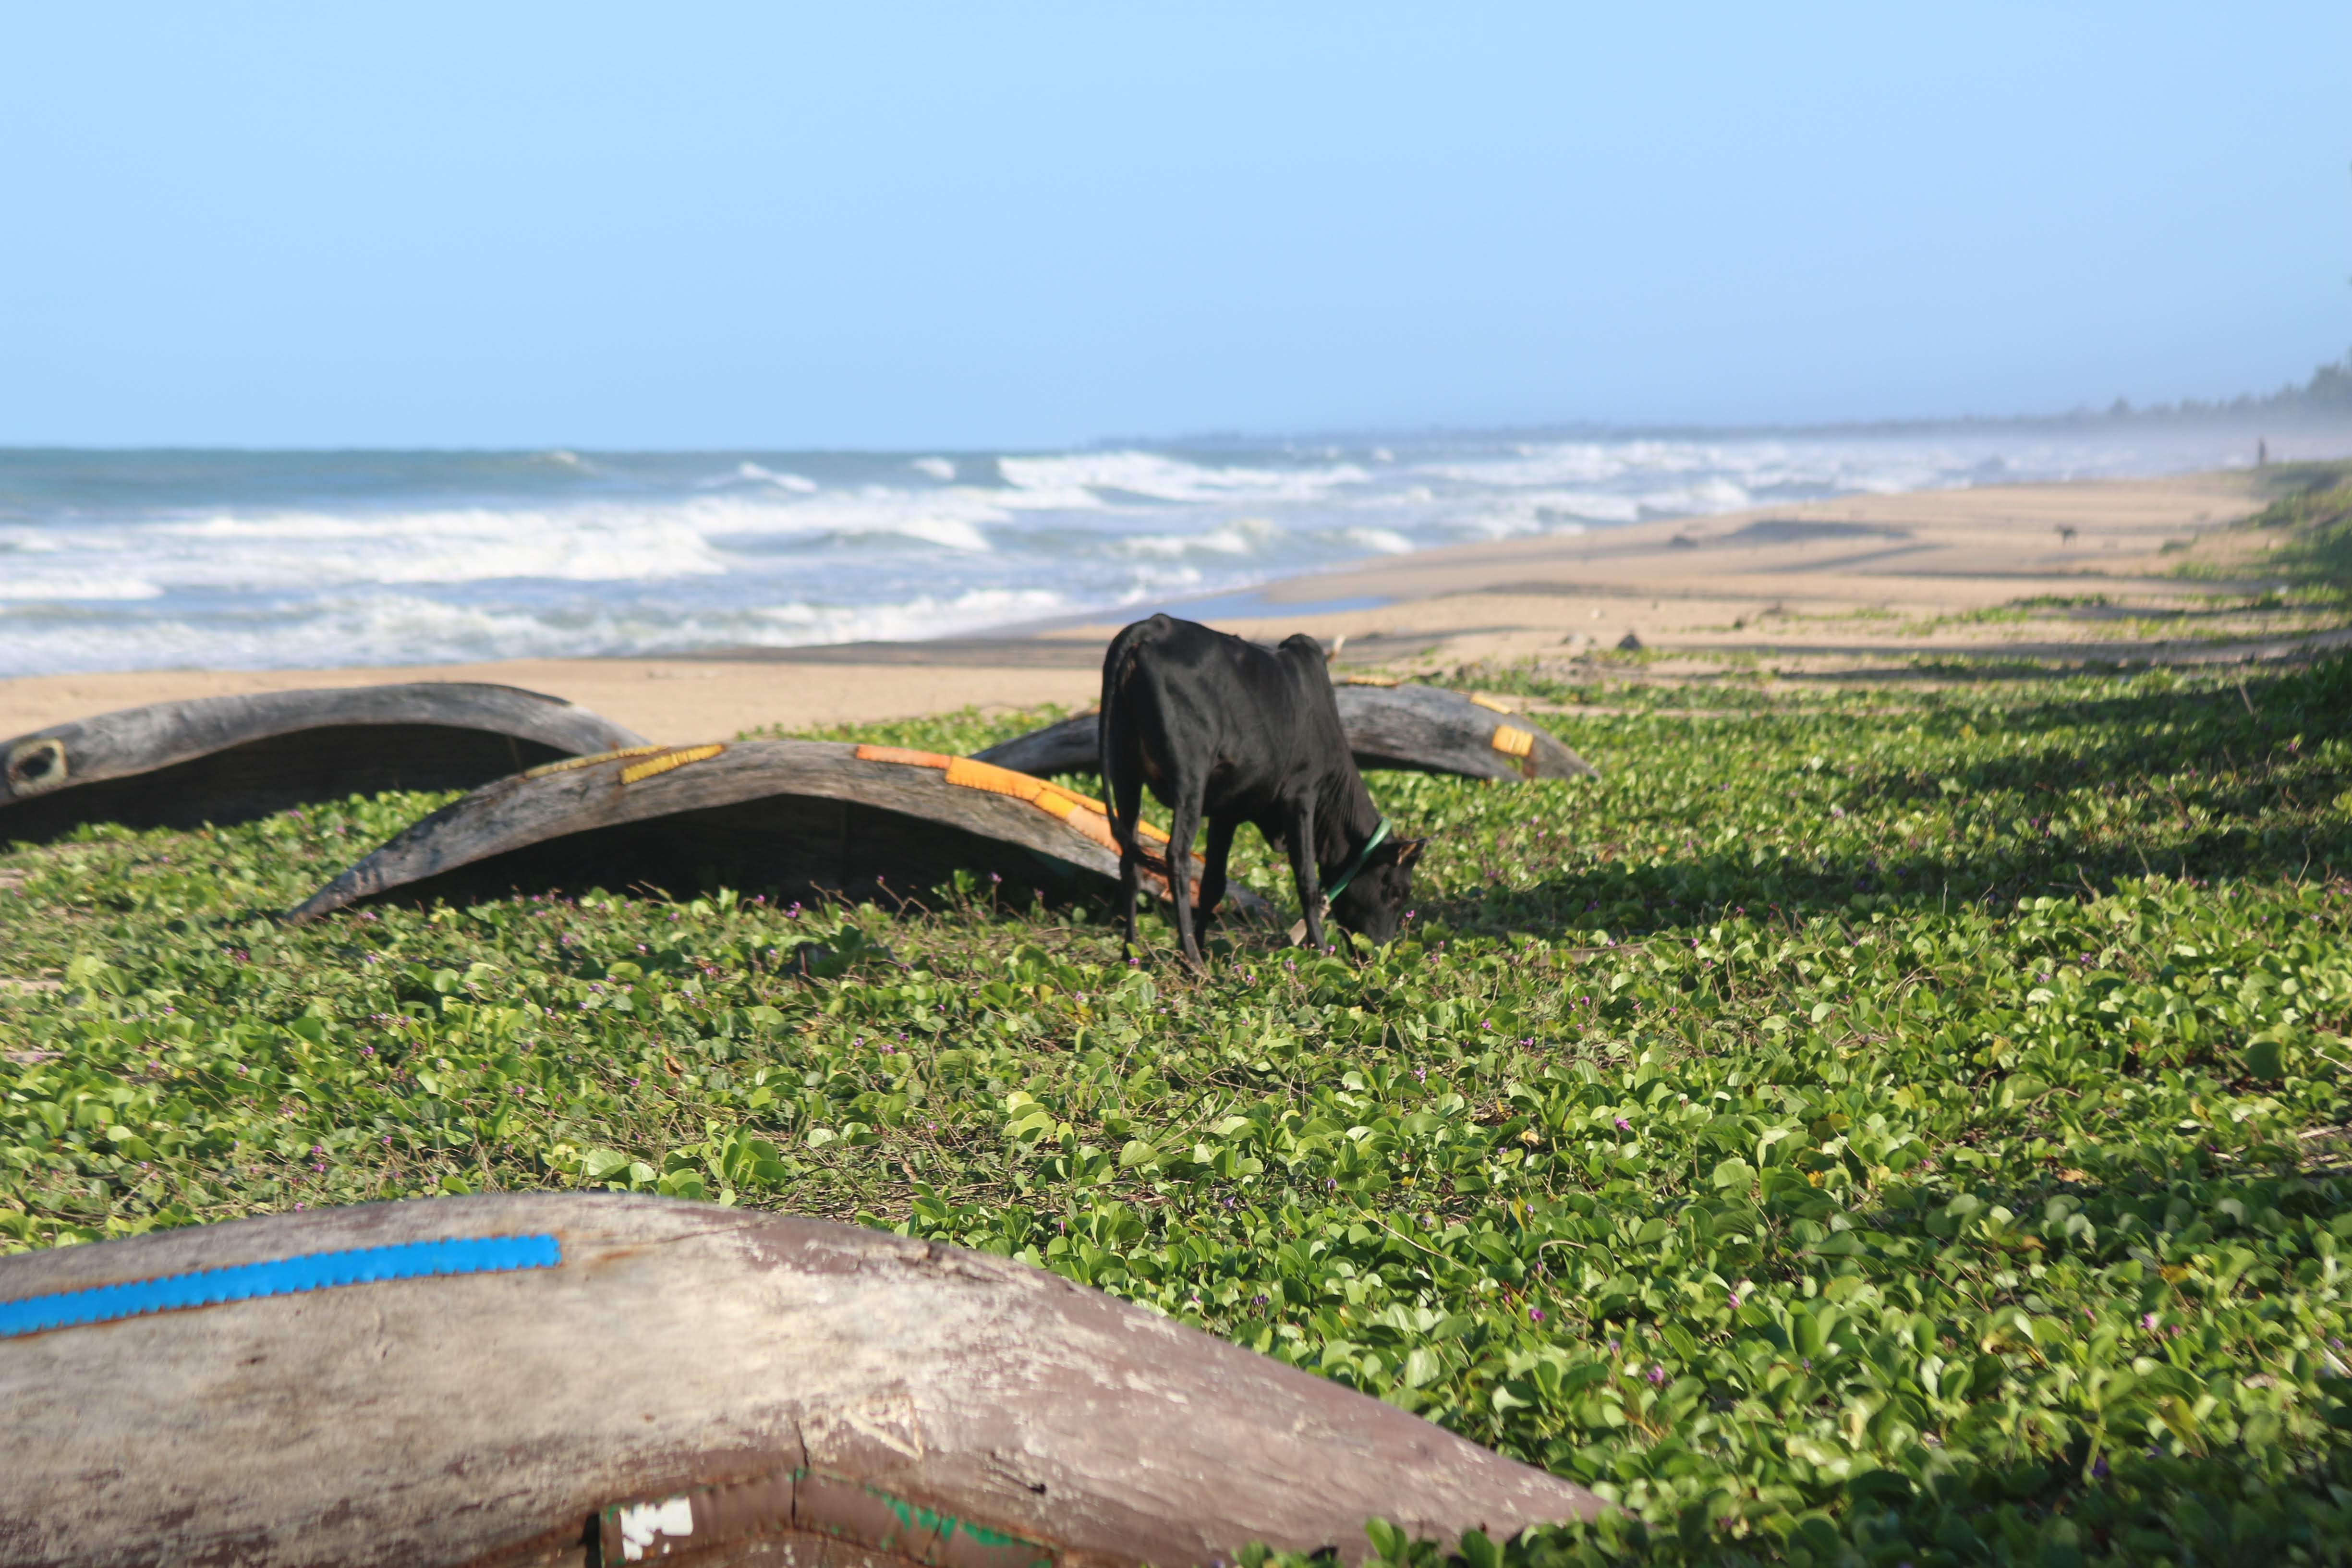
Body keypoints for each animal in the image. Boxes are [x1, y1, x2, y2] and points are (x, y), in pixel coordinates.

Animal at [1098, 614, 1424, 968]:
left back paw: (1131, 953)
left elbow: (1214, 883)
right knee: (1176, 857)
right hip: (1189, 777)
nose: (1379, 955)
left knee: (1129, 859)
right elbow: (1307, 879)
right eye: (1396, 892)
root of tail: (1154, 626)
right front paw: (1320, 949)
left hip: (1125, 770)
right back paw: (1192, 959)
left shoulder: (1227, 811)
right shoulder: (1301, 794)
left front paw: (1204, 945)